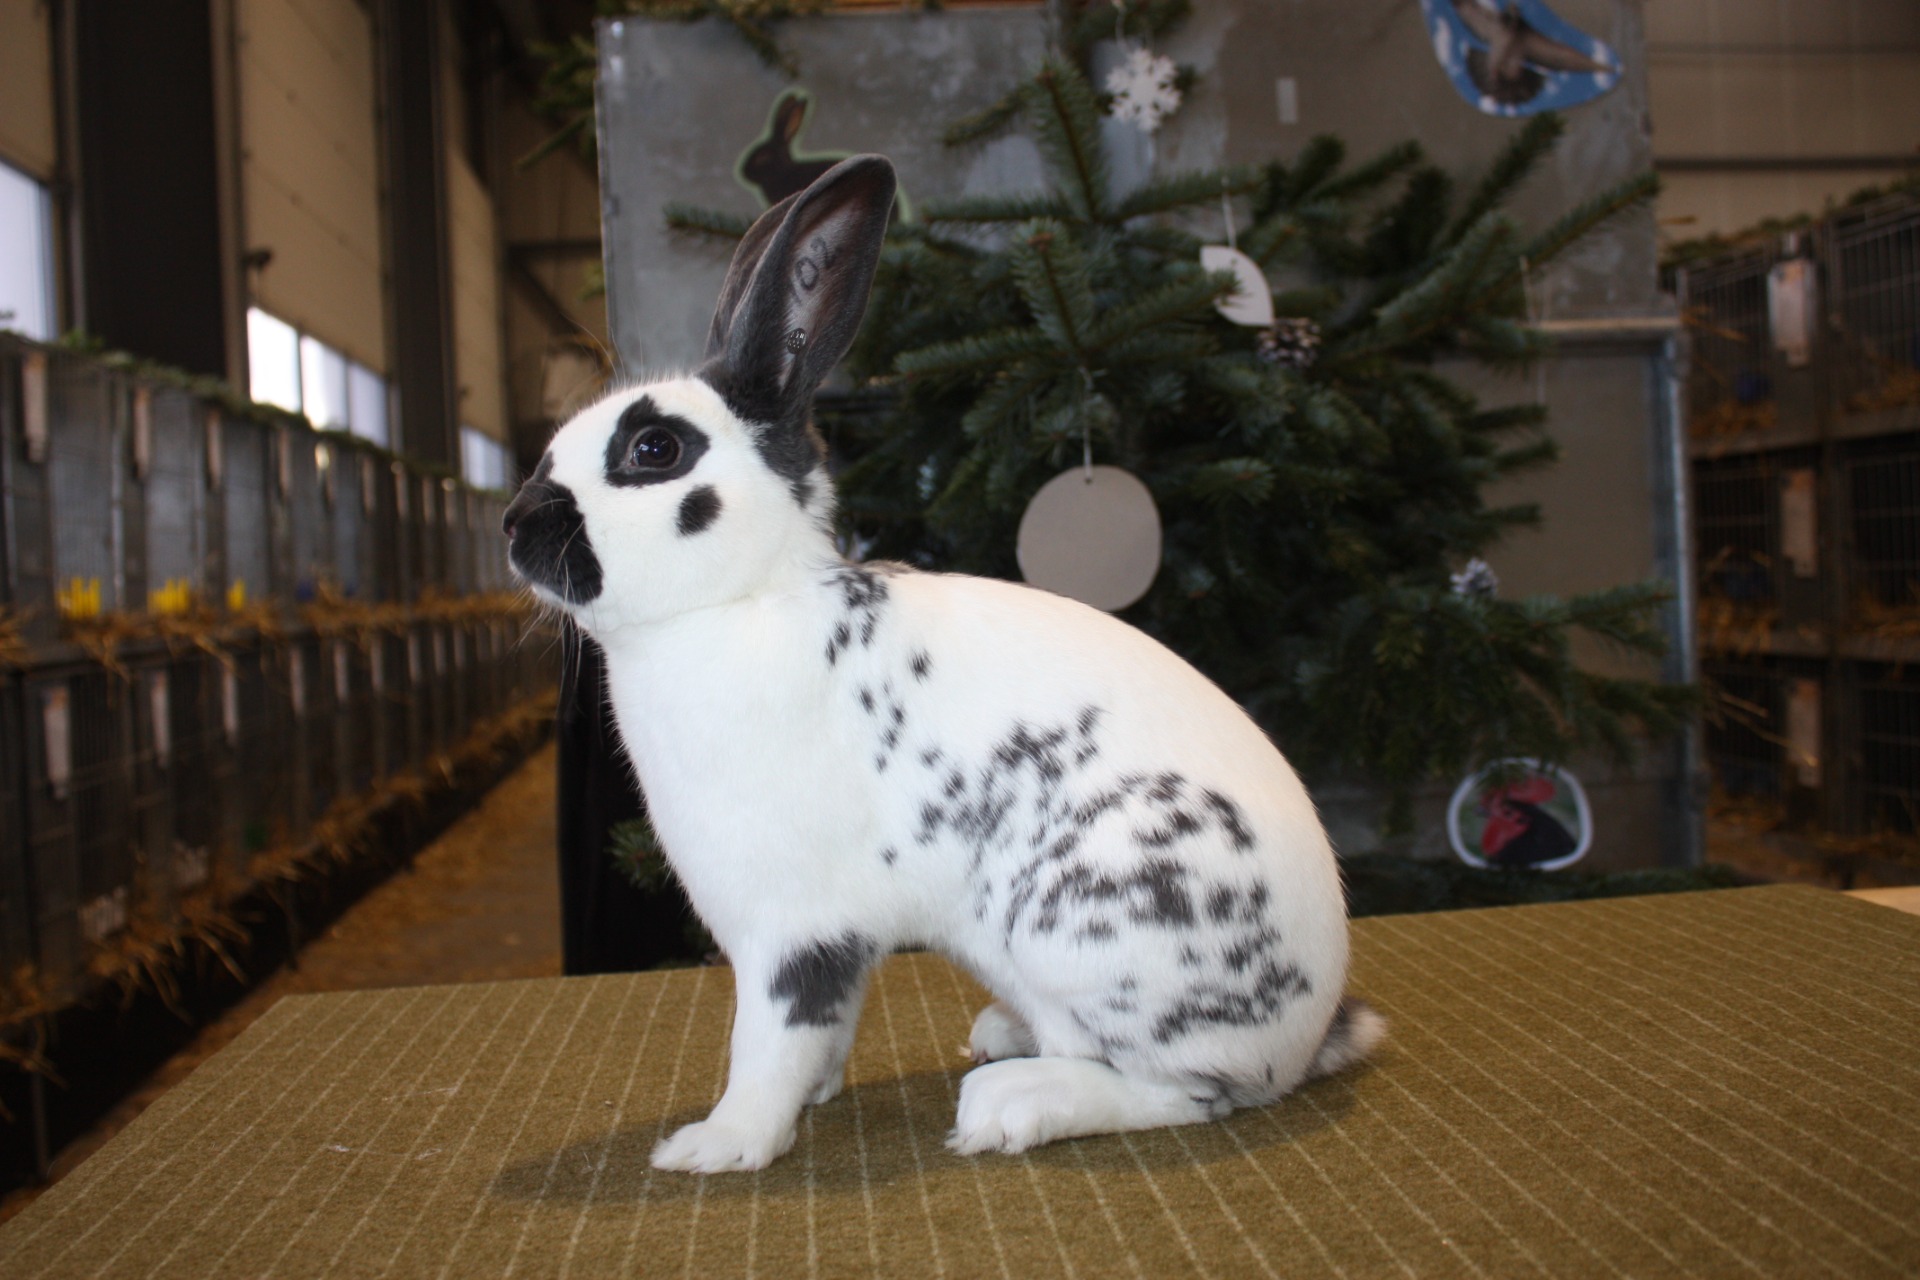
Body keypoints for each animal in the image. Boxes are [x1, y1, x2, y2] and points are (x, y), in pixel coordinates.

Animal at [502, 155, 1385, 1173]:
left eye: (655, 449)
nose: (514, 527)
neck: (743, 599)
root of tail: (1308, 1032)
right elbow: (827, 1031)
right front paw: (814, 1098)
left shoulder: (788, 933)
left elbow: (769, 1042)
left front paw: (718, 1146)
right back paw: (1005, 1038)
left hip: (1085, 926)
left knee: (1191, 1092)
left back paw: (1012, 1102)